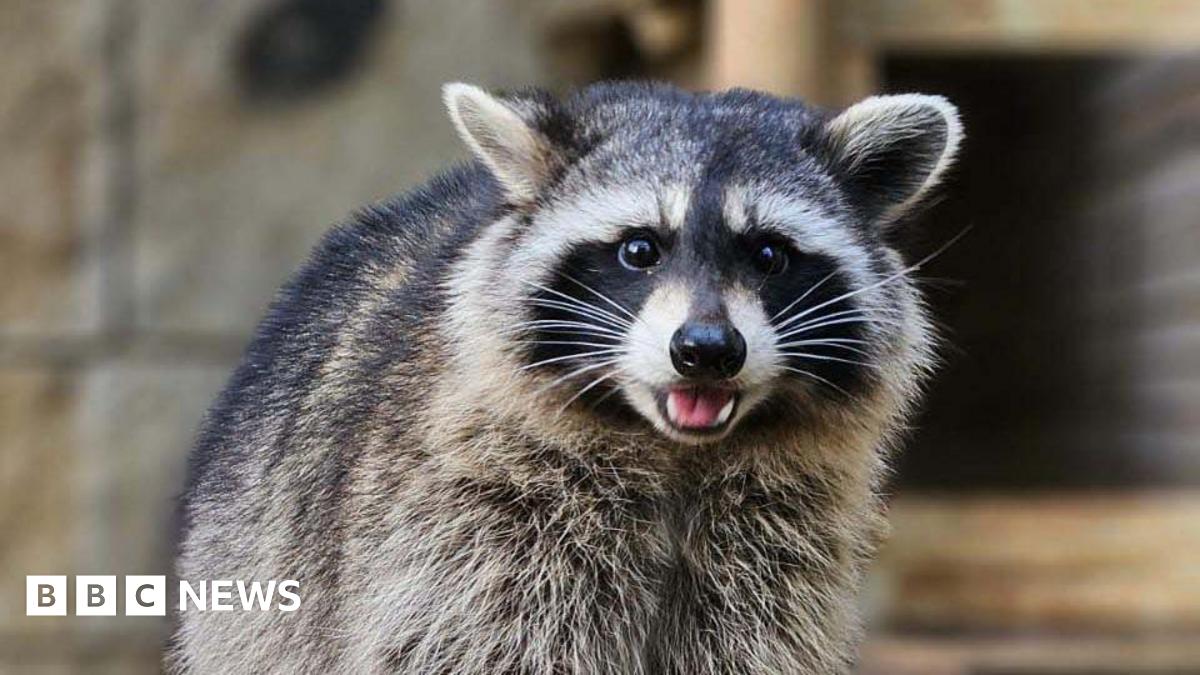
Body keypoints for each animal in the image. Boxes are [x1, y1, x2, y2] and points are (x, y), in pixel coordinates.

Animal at [170, 81, 962, 674]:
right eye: (640, 249)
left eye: (768, 255)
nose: (706, 350)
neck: (675, 453)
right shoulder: (466, 522)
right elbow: (478, 646)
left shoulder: (776, 552)